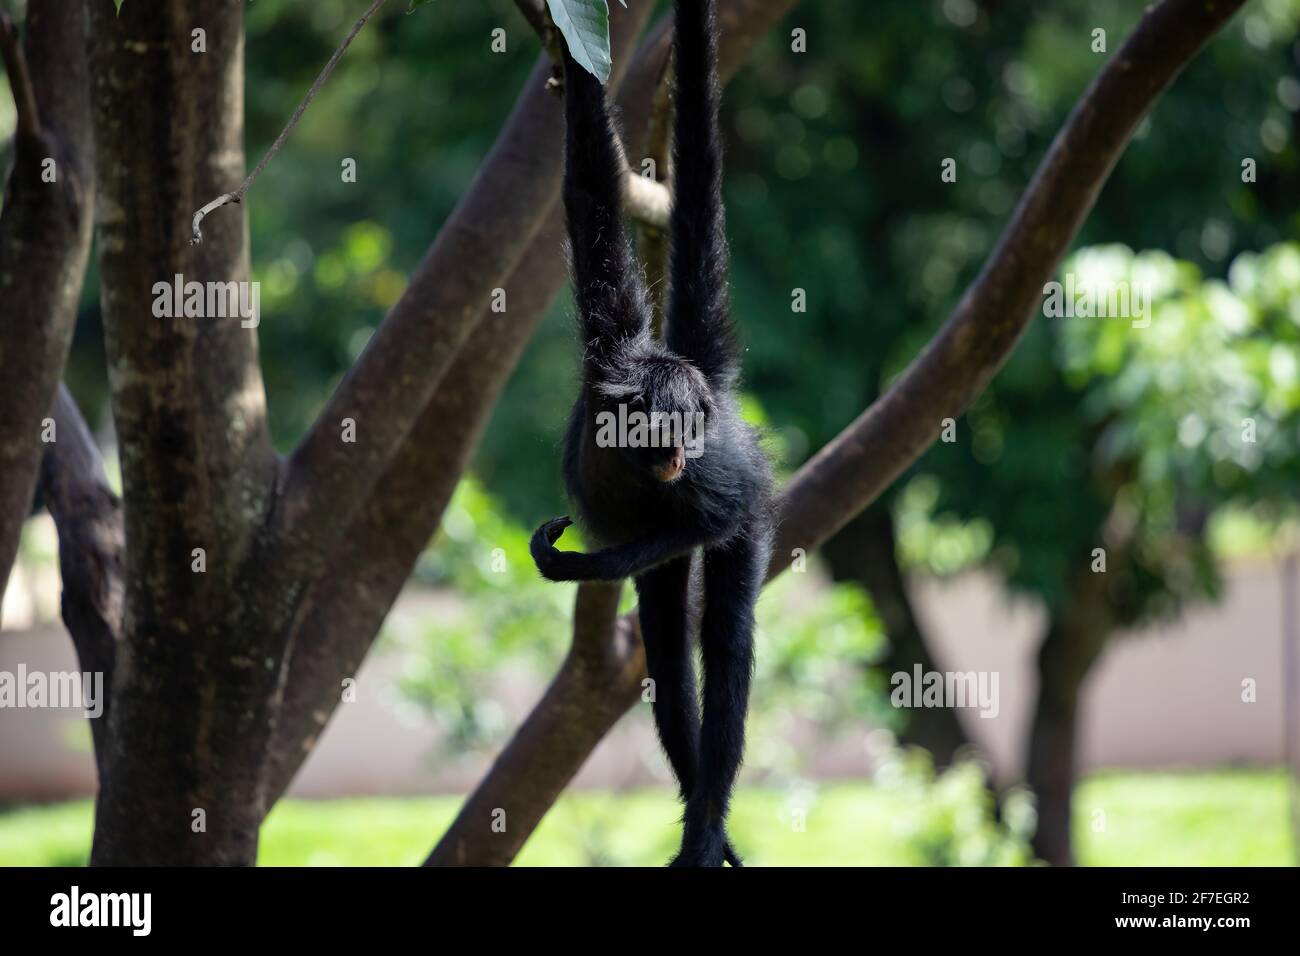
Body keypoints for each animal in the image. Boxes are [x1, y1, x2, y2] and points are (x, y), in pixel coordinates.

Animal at [530, 0, 774, 867]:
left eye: (685, 435)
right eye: (663, 432)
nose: (674, 458)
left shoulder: (712, 481)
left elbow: (712, 521)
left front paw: (579, 563)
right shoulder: (607, 345)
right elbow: (588, 189)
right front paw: (574, 69)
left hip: (750, 500)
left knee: (724, 642)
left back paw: (706, 826)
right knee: (667, 654)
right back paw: (704, 812)